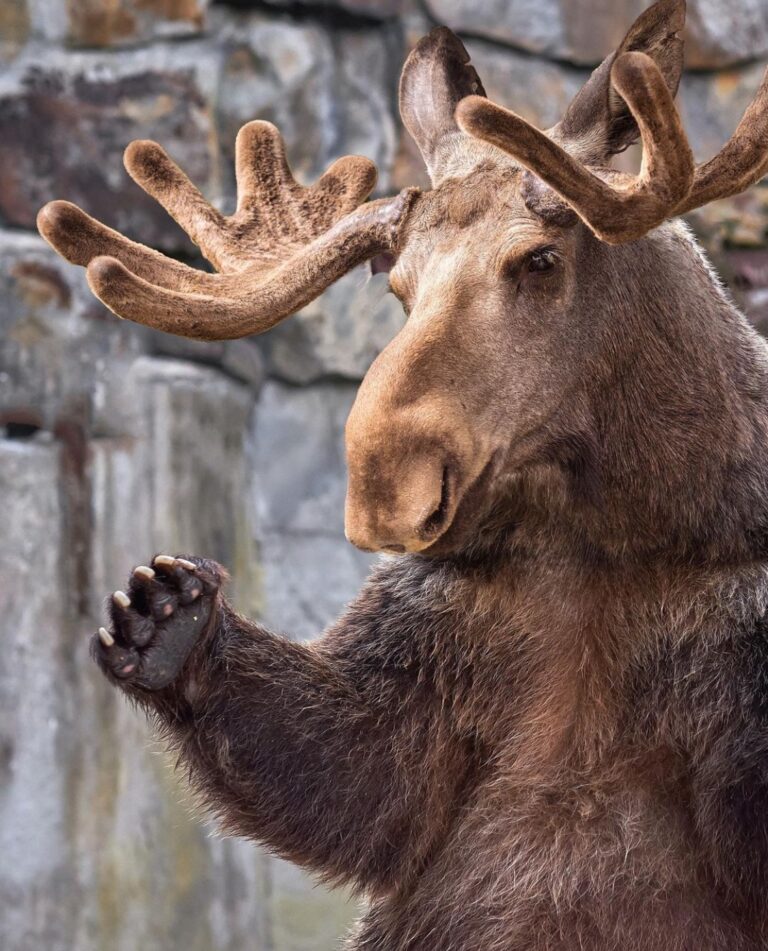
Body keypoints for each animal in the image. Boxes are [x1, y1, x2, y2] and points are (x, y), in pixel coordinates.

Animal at [35, 0, 768, 947]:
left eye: (540, 259)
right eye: (398, 286)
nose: (384, 481)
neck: (602, 549)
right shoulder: (419, 669)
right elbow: (352, 788)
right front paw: (165, 613)